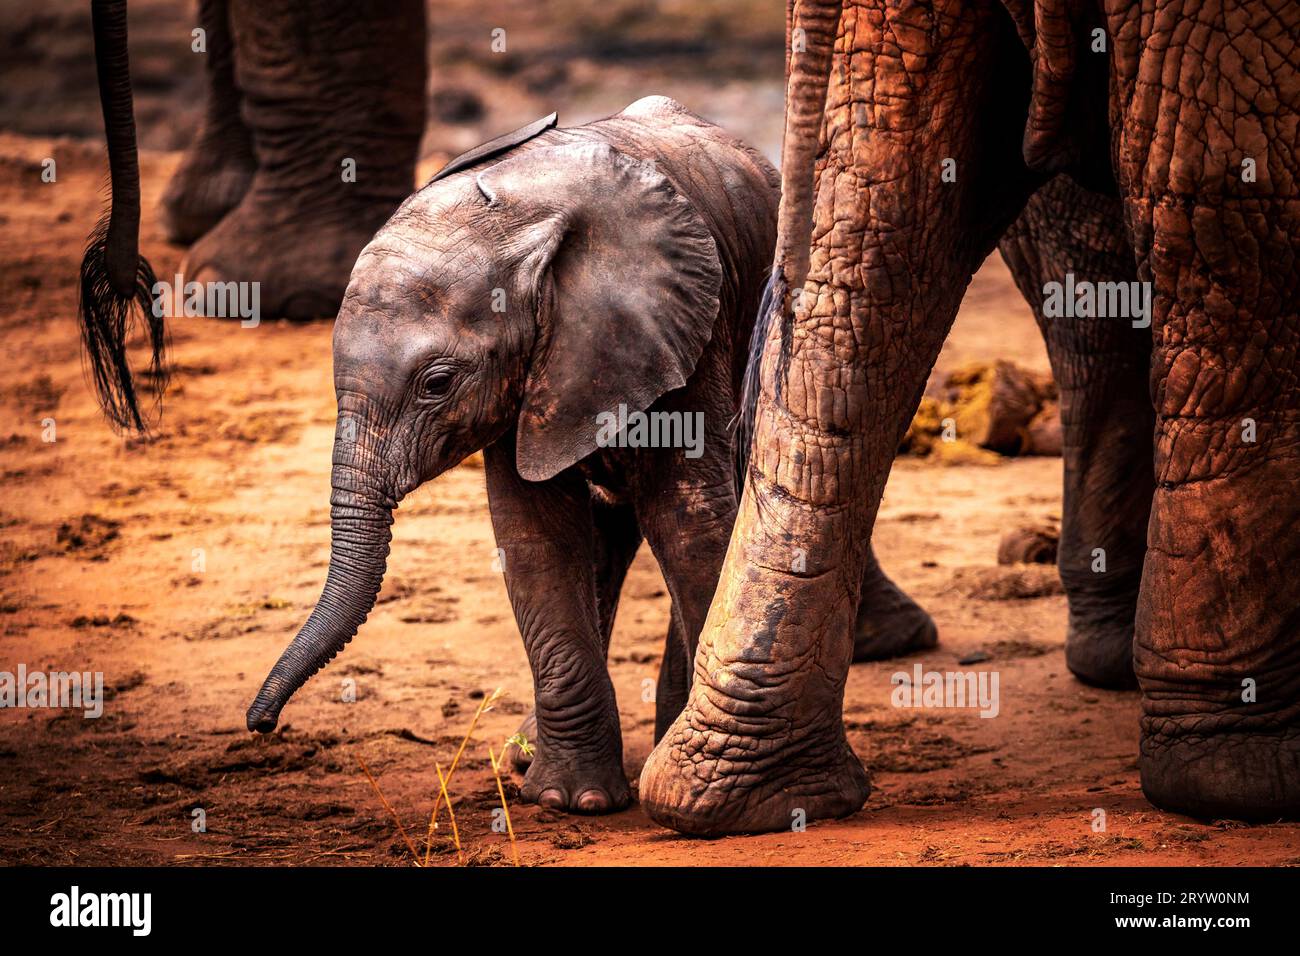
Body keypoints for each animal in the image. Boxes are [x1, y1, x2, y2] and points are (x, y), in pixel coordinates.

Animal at [243, 96, 785, 814]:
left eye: (437, 384)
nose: (260, 724)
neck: (520, 223)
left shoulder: (678, 334)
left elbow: (692, 526)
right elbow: (536, 538)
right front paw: (567, 800)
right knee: (604, 539)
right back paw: (525, 757)